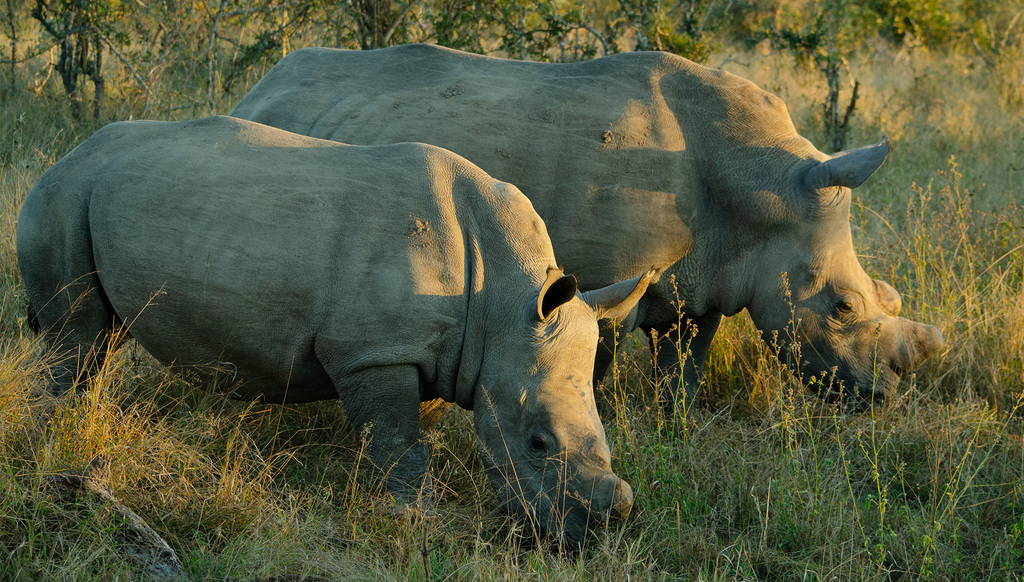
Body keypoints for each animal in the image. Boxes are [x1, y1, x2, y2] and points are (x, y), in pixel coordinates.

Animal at [17, 115, 654, 545]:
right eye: (538, 443)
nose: (588, 536)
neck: (503, 301)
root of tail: (66, 155)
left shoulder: (437, 354)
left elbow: (408, 437)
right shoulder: (375, 351)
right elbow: (400, 444)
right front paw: (414, 521)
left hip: (100, 196)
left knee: (100, 339)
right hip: (61, 198)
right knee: (76, 339)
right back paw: (47, 438)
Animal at [230, 43, 944, 407]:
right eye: (844, 307)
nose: (885, 394)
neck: (763, 184)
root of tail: (260, 85)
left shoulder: (711, 281)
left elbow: (687, 364)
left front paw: (677, 423)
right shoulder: (605, 274)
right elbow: (593, 360)